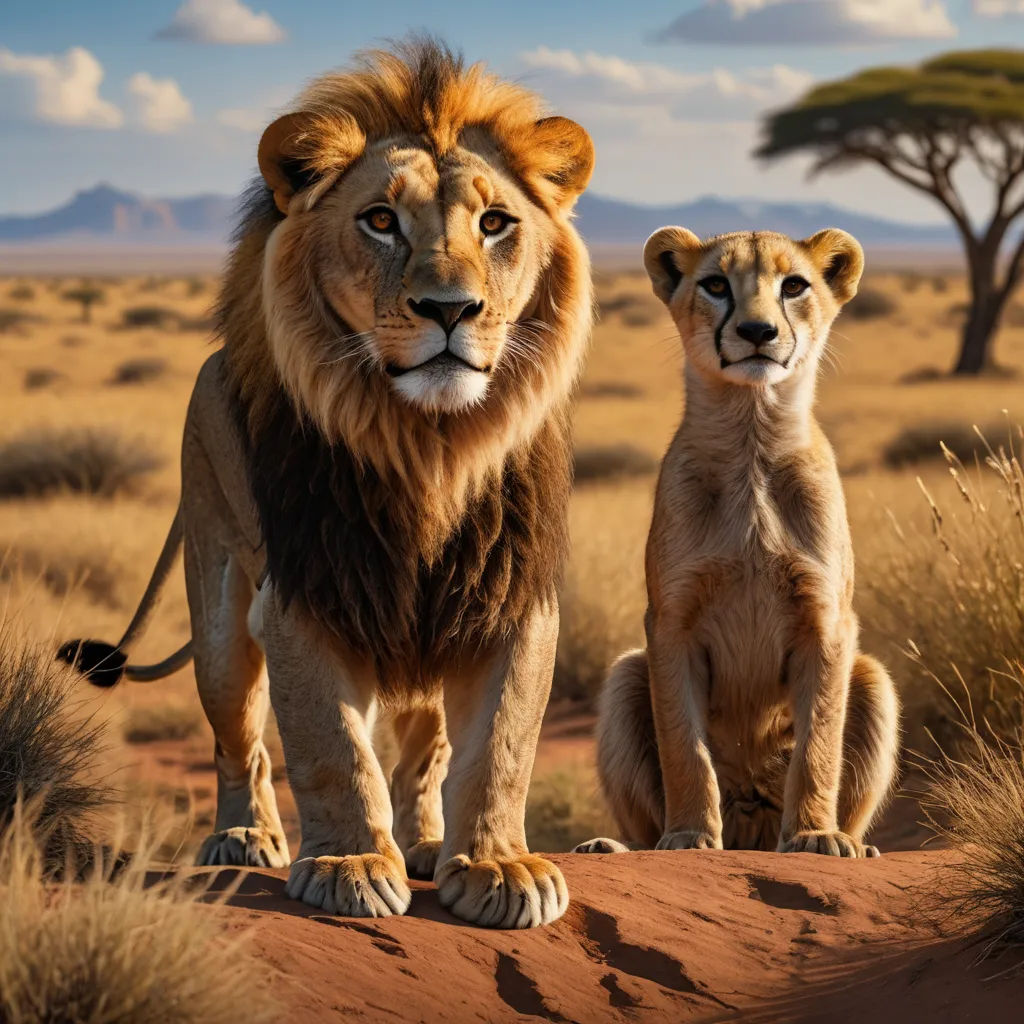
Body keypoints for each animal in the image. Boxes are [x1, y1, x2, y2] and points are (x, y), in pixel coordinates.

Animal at [59, 40, 594, 927]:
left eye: (495, 224)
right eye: (380, 220)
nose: (450, 309)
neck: (431, 446)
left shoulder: (509, 590)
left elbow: (502, 744)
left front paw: (497, 867)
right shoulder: (309, 590)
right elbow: (330, 746)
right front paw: (349, 864)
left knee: (423, 750)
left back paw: (423, 841)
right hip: (220, 612)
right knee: (238, 737)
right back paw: (244, 837)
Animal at [574, 228, 899, 859]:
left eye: (794, 285)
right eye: (716, 285)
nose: (756, 331)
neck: (752, 433)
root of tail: (751, 823)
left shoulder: (828, 620)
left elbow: (820, 742)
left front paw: (815, 835)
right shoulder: (670, 622)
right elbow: (684, 747)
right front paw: (690, 835)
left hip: (872, 679)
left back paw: (856, 843)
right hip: (626, 675)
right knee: (642, 818)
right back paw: (616, 845)